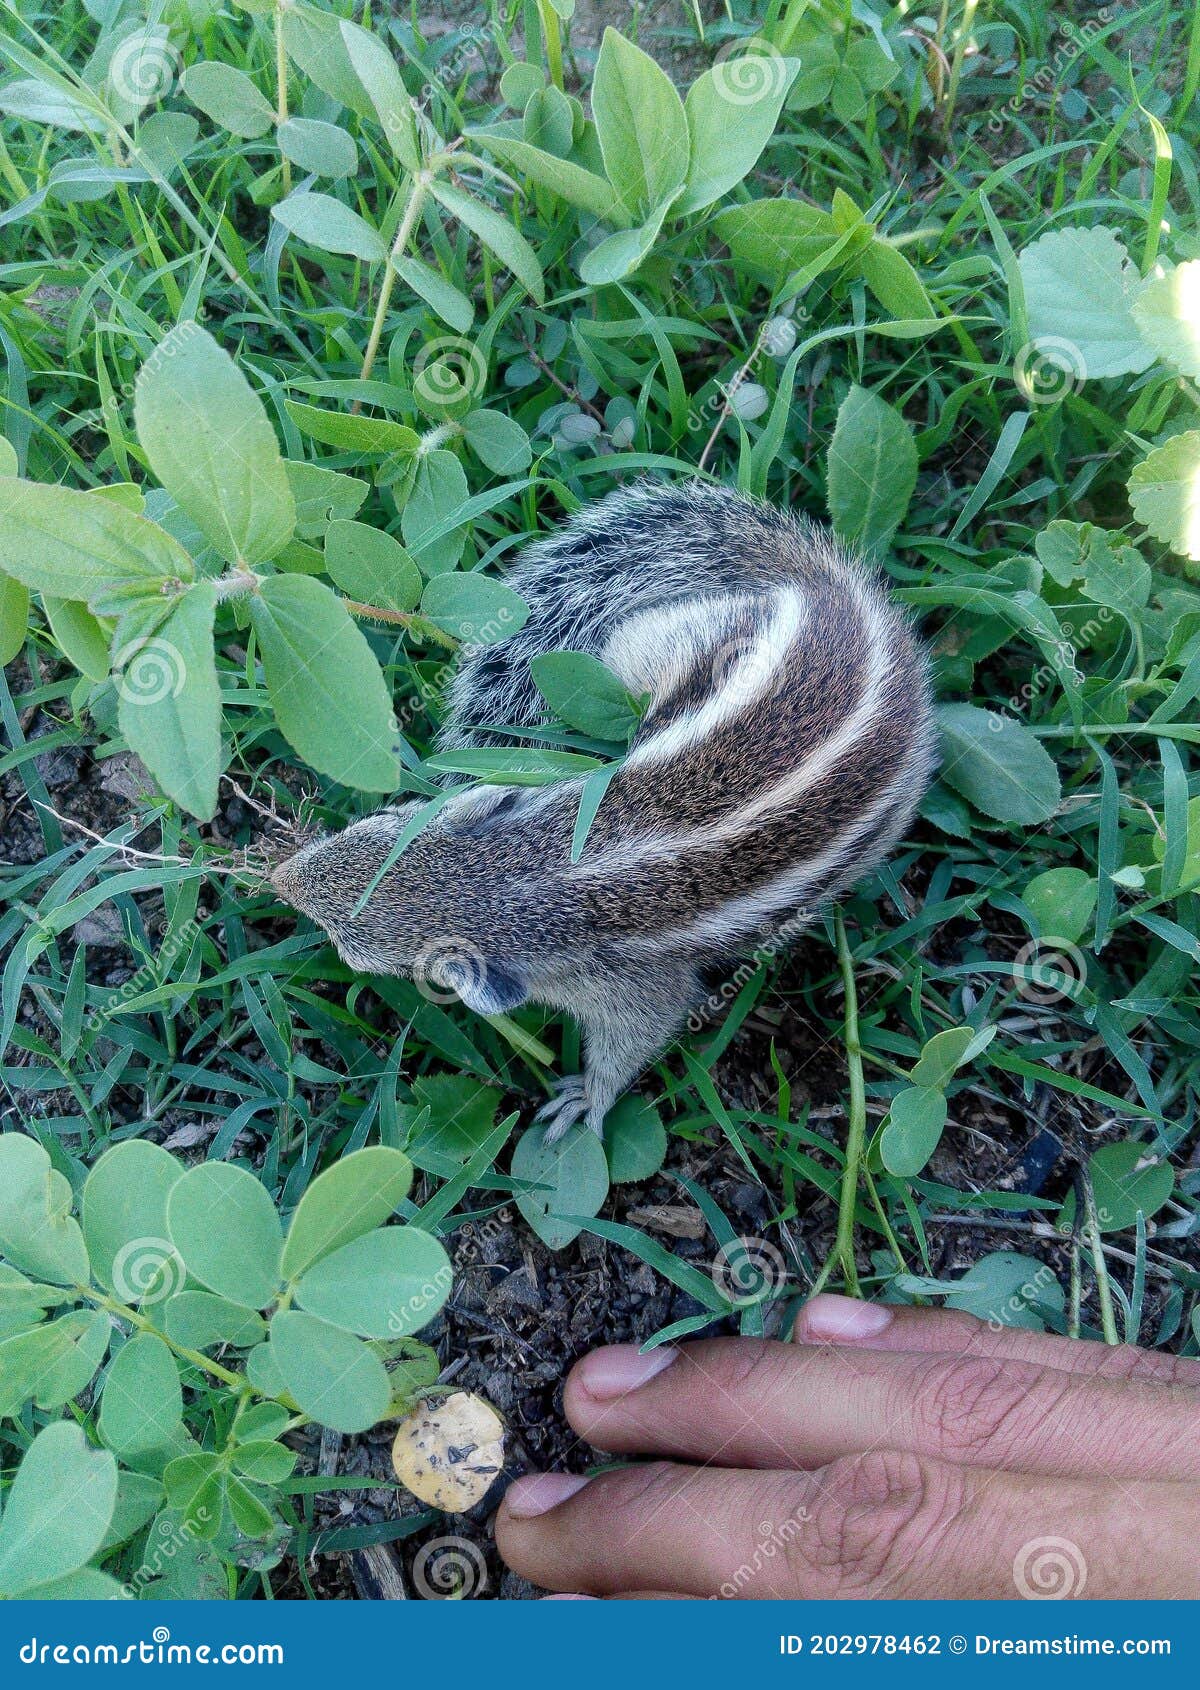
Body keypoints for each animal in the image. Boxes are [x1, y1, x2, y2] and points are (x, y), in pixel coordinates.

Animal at [270, 482, 936, 1141]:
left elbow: (644, 1030)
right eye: (369, 828)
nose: (279, 880)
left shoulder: (629, 985)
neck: (535, 876)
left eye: (352, 950)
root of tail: (835, 593)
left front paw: (589, 1097)